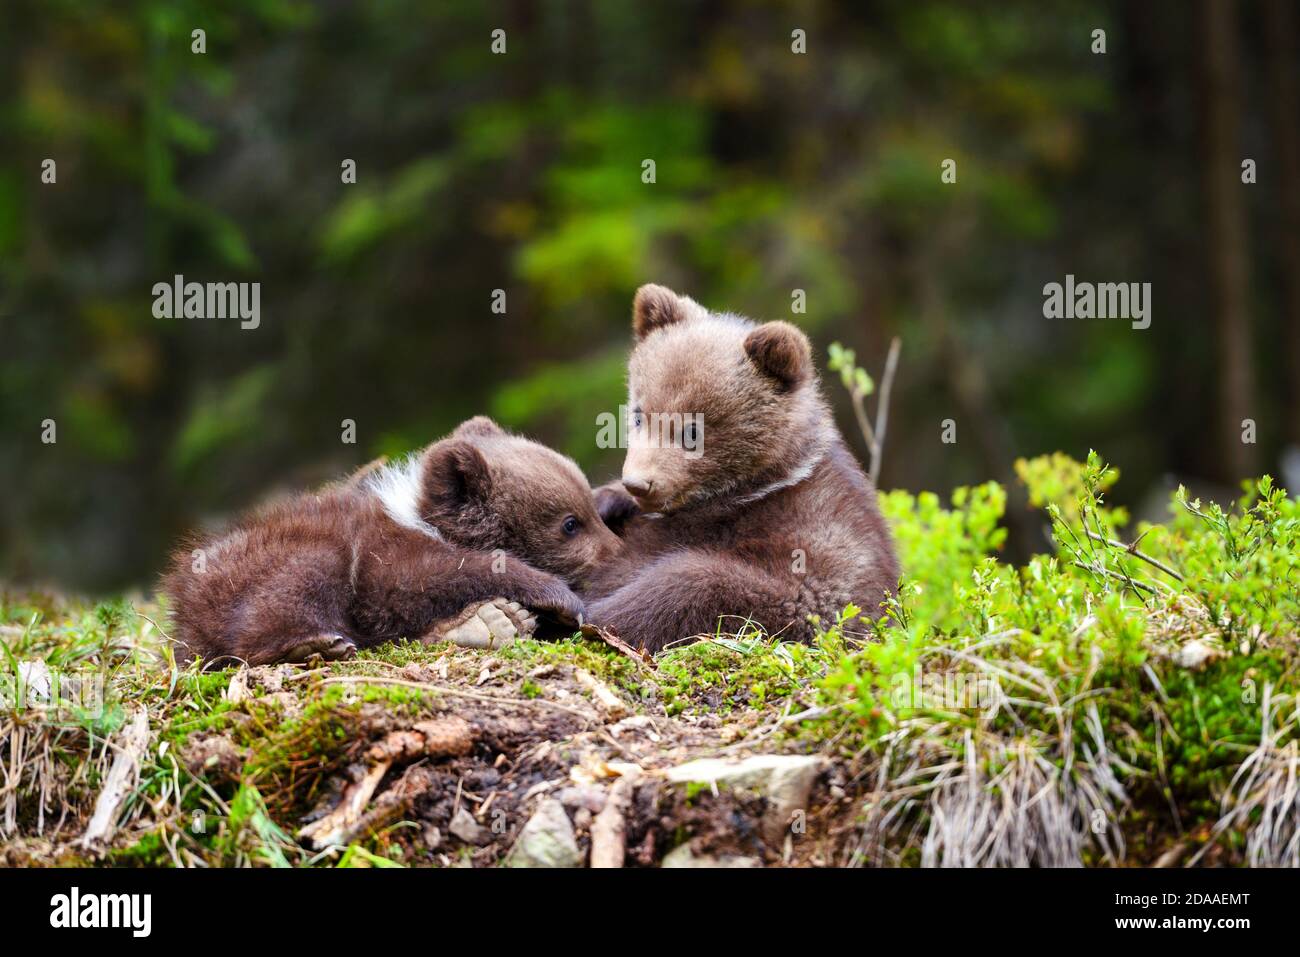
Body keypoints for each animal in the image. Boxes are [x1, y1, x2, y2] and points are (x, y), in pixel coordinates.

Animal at [163, 417, 620, 666]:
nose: (617, 550)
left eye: (588, 508)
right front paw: (556, 595)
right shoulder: (379, 553)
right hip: (255, 568)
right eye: (570, 524)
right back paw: (309, 644)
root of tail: (183, 609)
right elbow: (419, 582)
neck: (423, 522)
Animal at [585, 284, 899, 653]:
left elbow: (627, 560)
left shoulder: (733, 521)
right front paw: (604, 500)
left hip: (783, 599)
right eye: (638, 414)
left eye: (692, 431)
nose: (639, 483)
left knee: (679, 588)